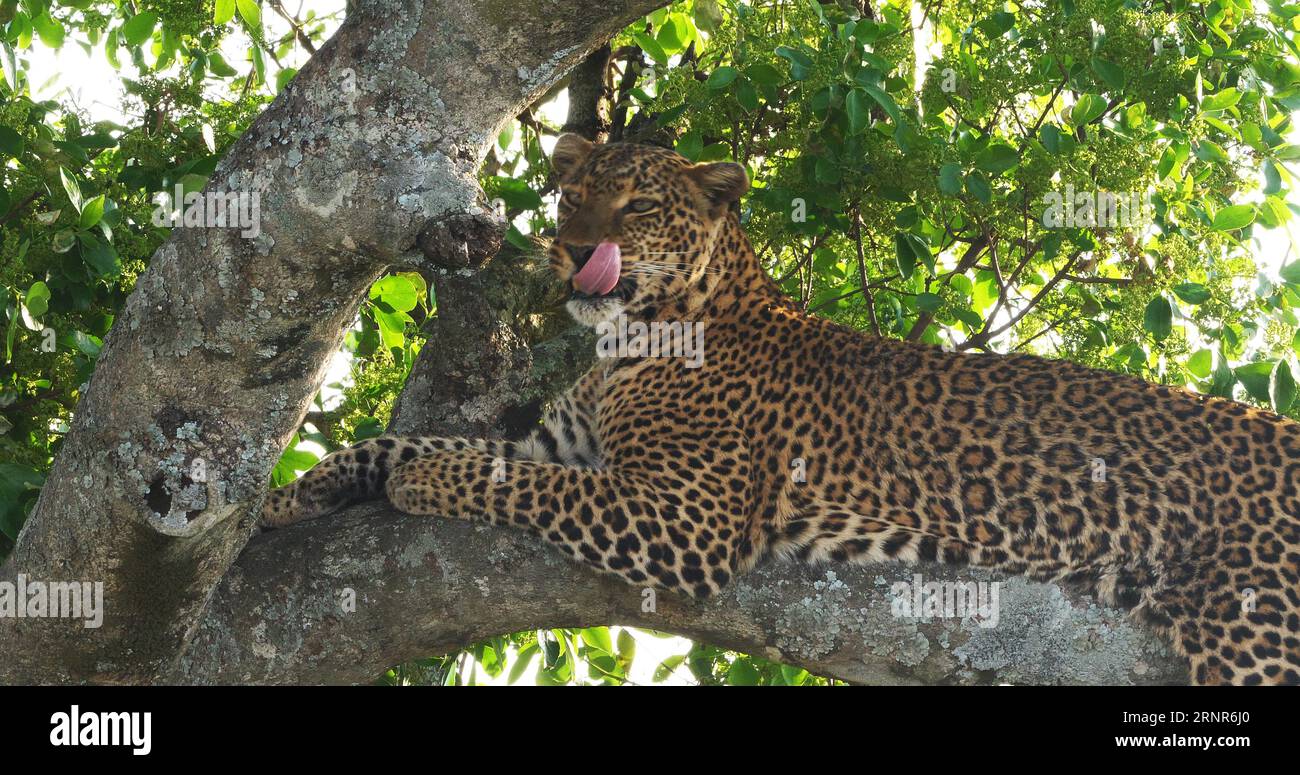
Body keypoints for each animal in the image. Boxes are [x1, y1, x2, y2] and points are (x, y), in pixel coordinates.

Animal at [262, 133, 1300, 685]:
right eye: (571, 195)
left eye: (635, 205)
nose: (570, 250)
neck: (630, 341)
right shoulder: (566, 442)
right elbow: (412, 439)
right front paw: (286, 497)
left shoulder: (684, 514)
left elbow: (490, 474)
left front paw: (417, 481)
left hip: (1254, 632)